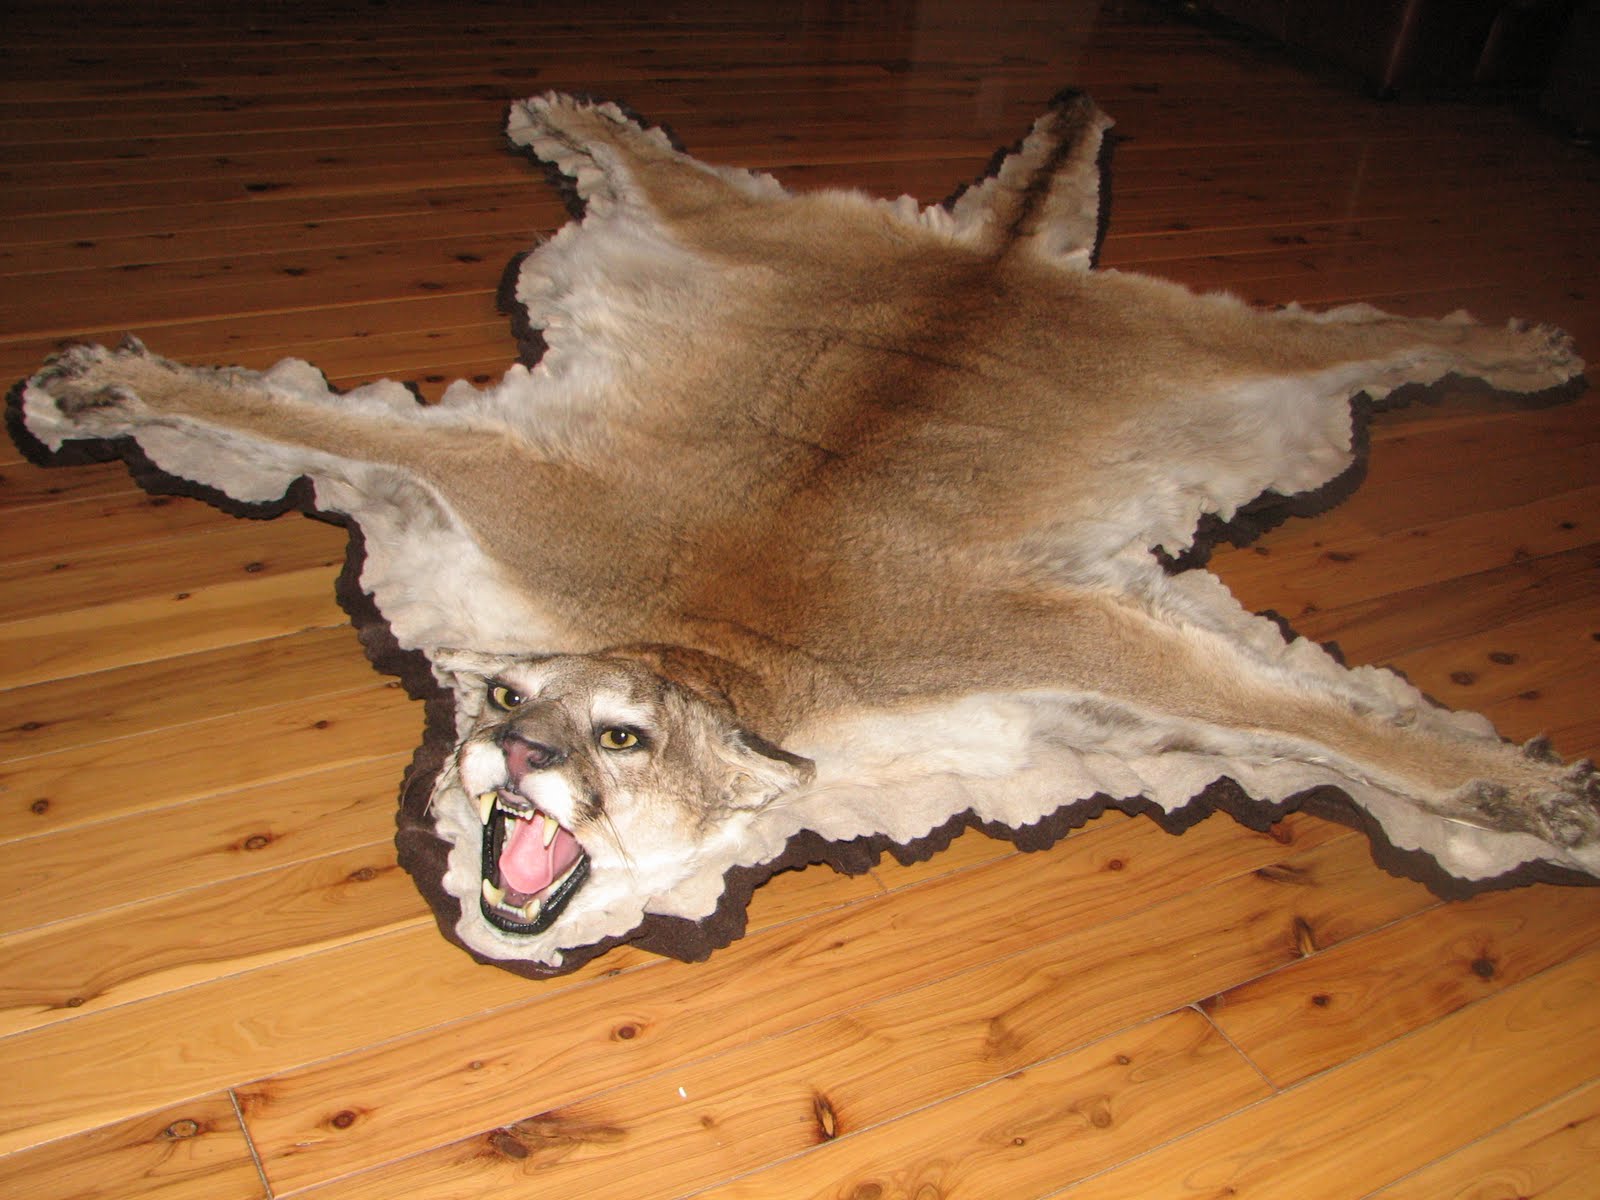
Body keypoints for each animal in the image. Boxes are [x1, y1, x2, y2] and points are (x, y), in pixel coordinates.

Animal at [12, 91, 1597, 975]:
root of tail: (993, 259)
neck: (716, 641)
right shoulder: (507, 506)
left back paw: (1521, 352)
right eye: (511, 702)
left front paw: (1519, 793)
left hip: (1205, 348)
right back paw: (570, 117)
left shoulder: (1037, 650)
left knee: (1366, 332)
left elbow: (1311, 717)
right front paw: (112, 386)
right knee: (680, 176)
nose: (515, 757)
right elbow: (323, 422)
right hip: (740, 235)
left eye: (622, 737)